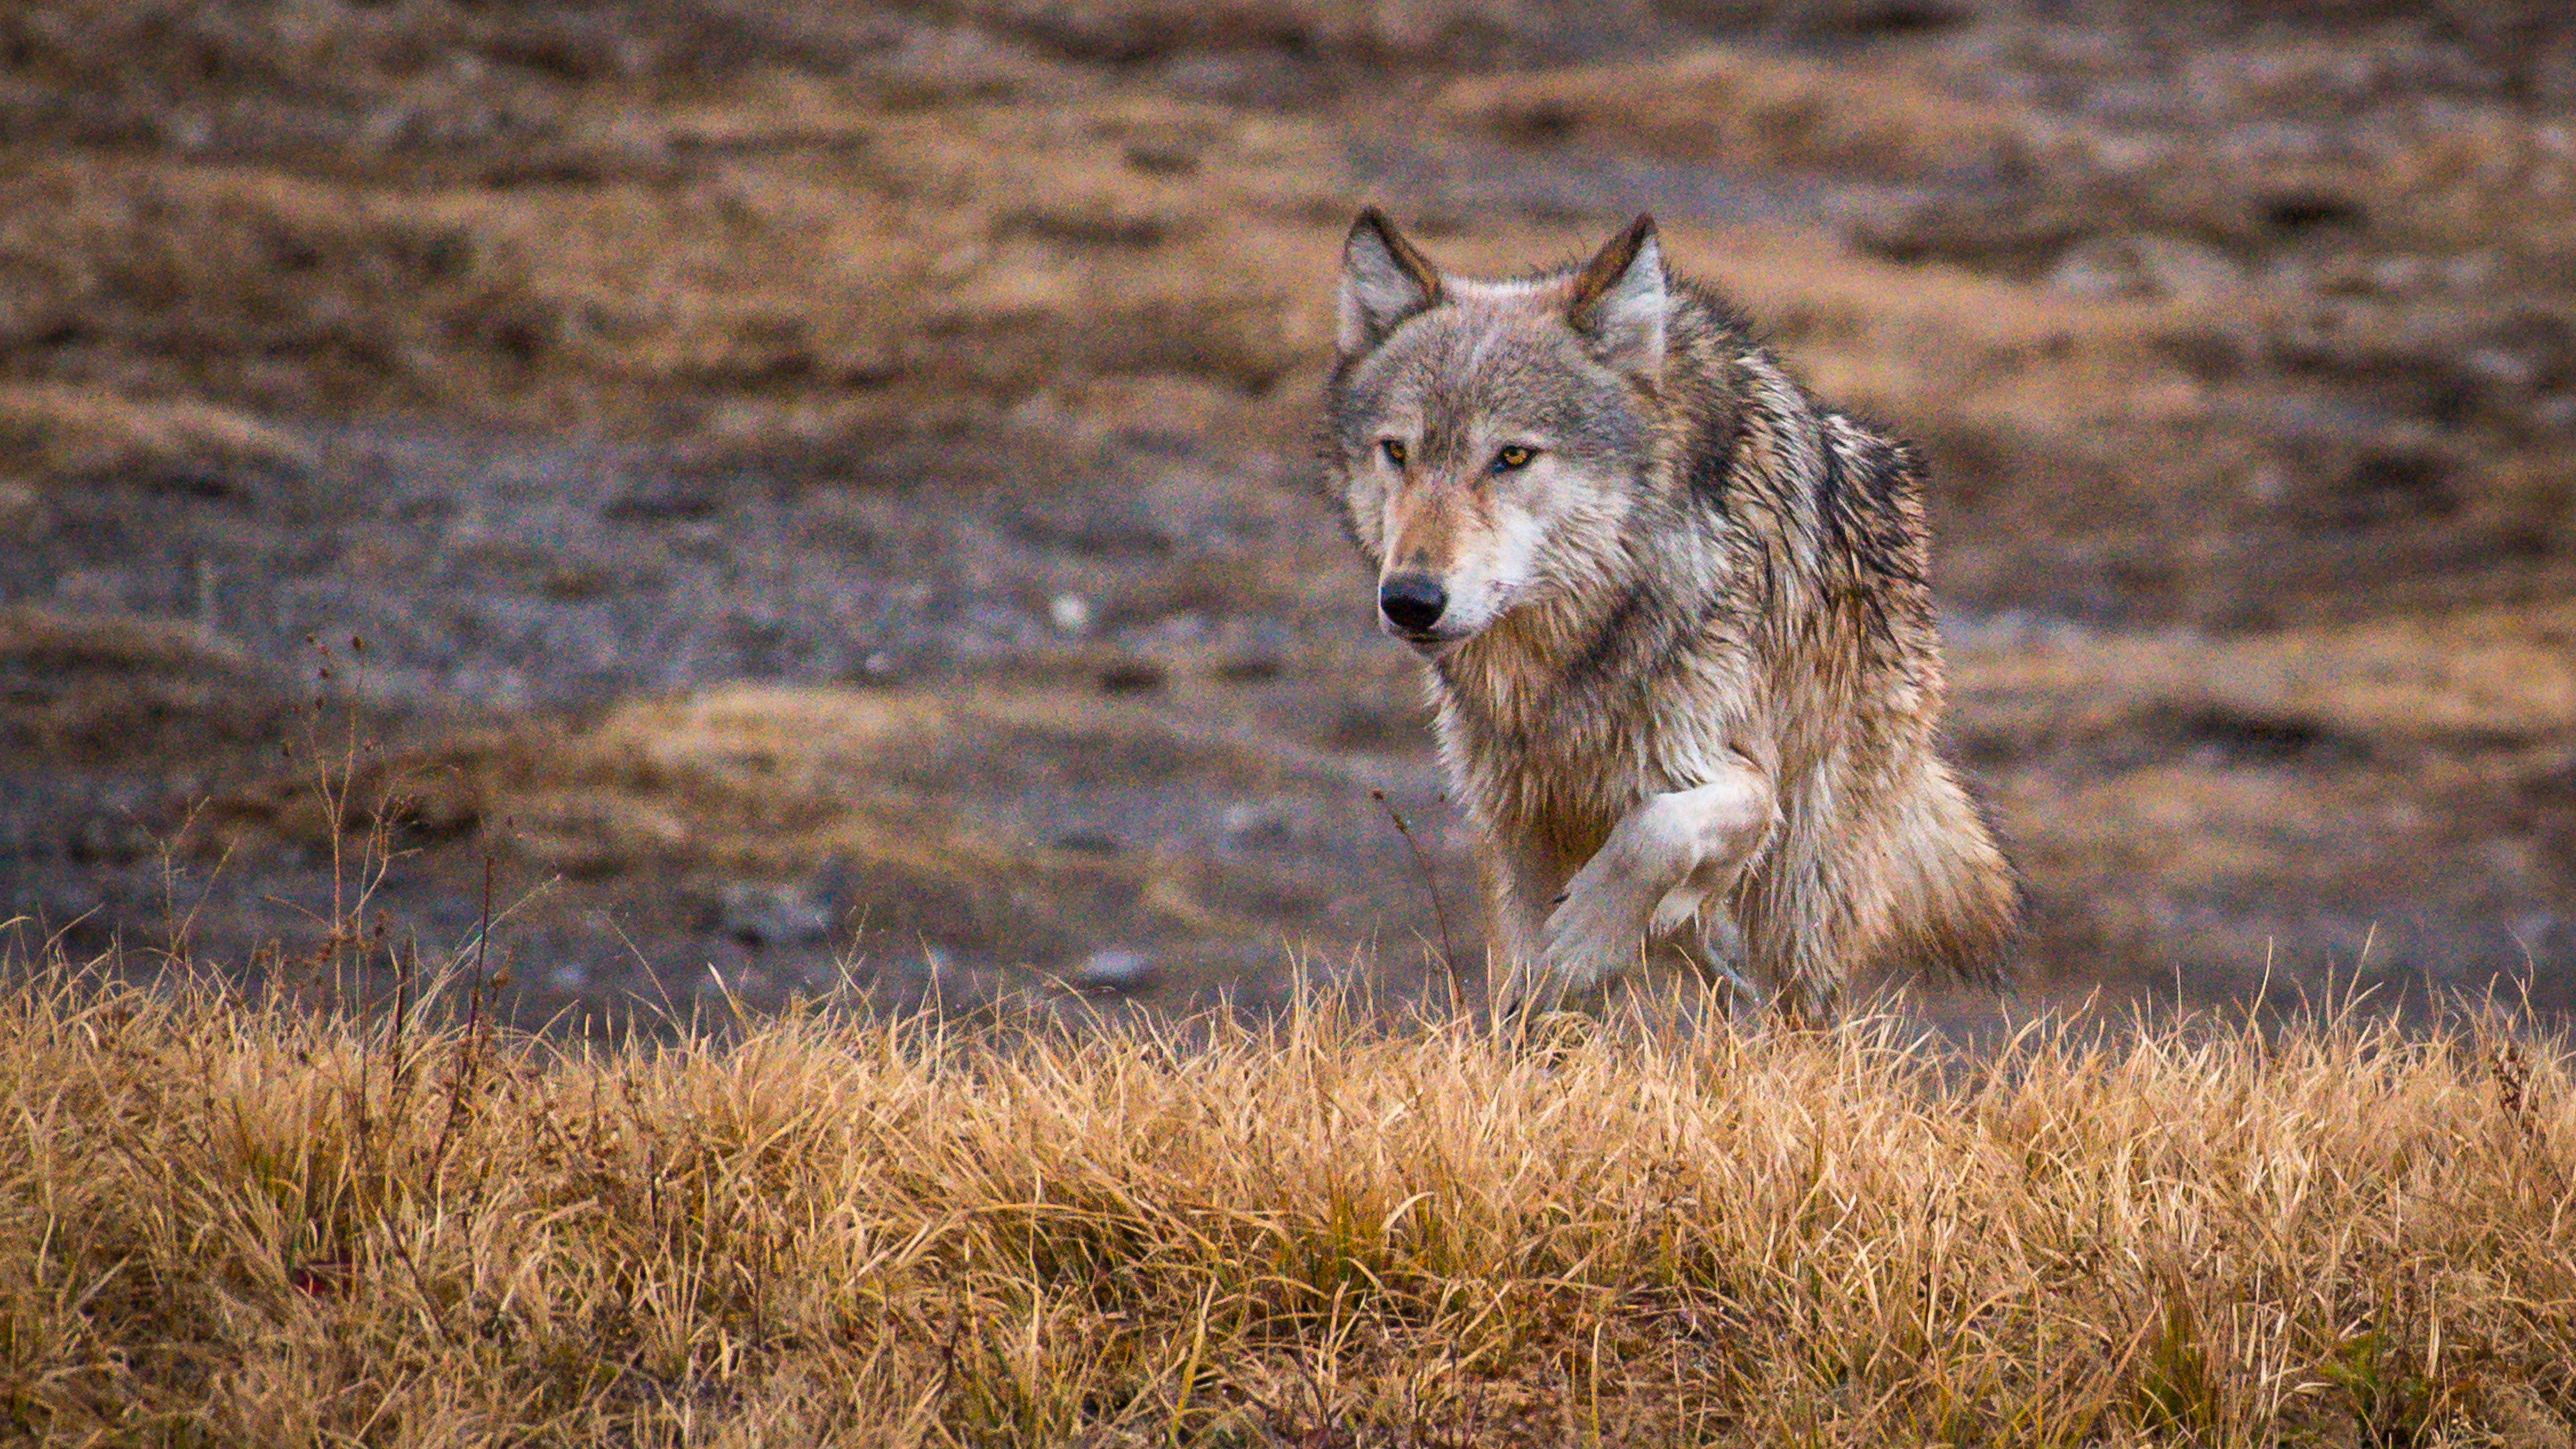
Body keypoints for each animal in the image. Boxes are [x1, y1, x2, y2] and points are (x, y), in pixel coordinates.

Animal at [1322, 210, 2017, 1023]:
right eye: (1397, 452)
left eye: (1513, 457)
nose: (1410, 599)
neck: (1571, 653)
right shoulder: (1514, 813)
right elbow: (1523, 983)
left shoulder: (1741, 778)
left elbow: (1657, 829)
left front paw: (1584, 938)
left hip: (1804, 888)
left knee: (1798, 999)